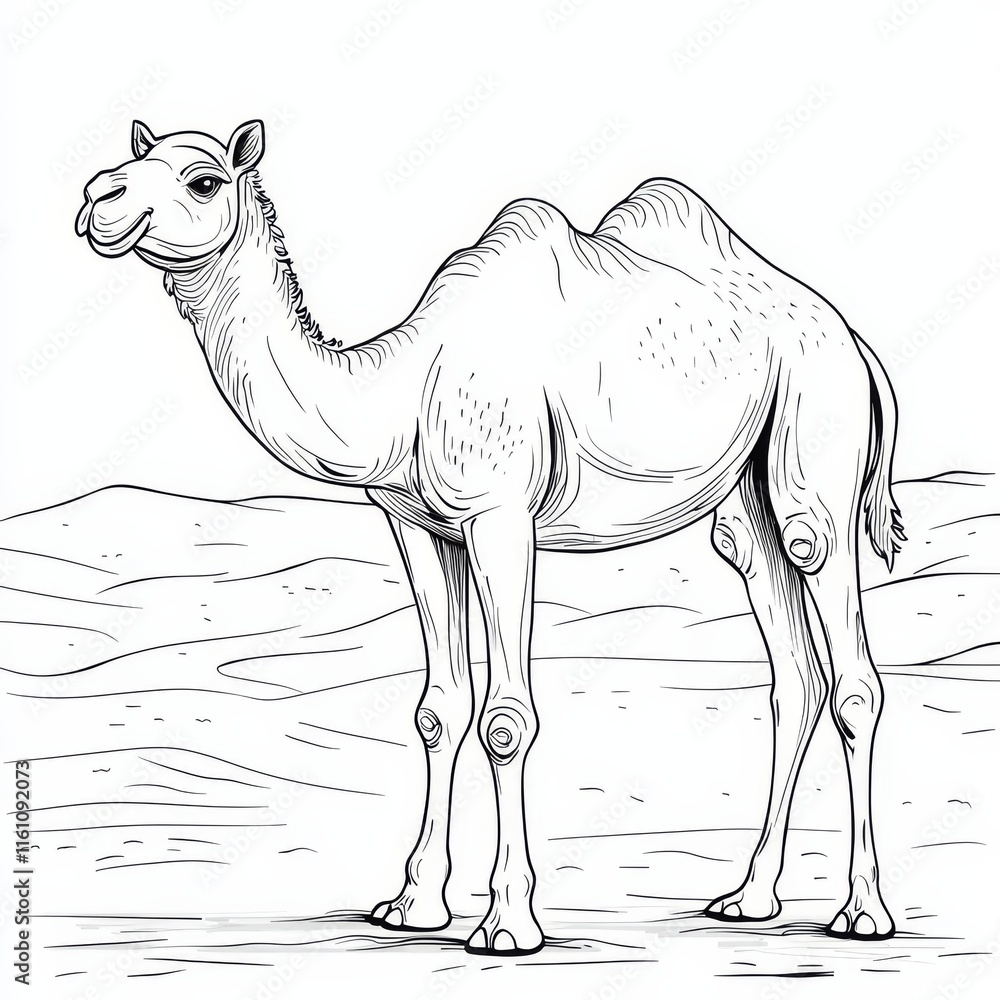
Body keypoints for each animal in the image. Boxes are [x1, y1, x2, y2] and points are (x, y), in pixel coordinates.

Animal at [76, 119, 904, 956]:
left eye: (202, 180)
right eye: (135, 160)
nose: (97, 199)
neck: (399, 391)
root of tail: (853, 339)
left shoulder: (502, 518)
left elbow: (506, 719)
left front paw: (507, 923)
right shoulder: (420, 526)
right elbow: (438, 709)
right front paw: (412, 904)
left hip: (815, 435)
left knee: (842, 646)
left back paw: (863, 912)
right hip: (744, 496)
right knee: (789, 664)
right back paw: (748, 898)